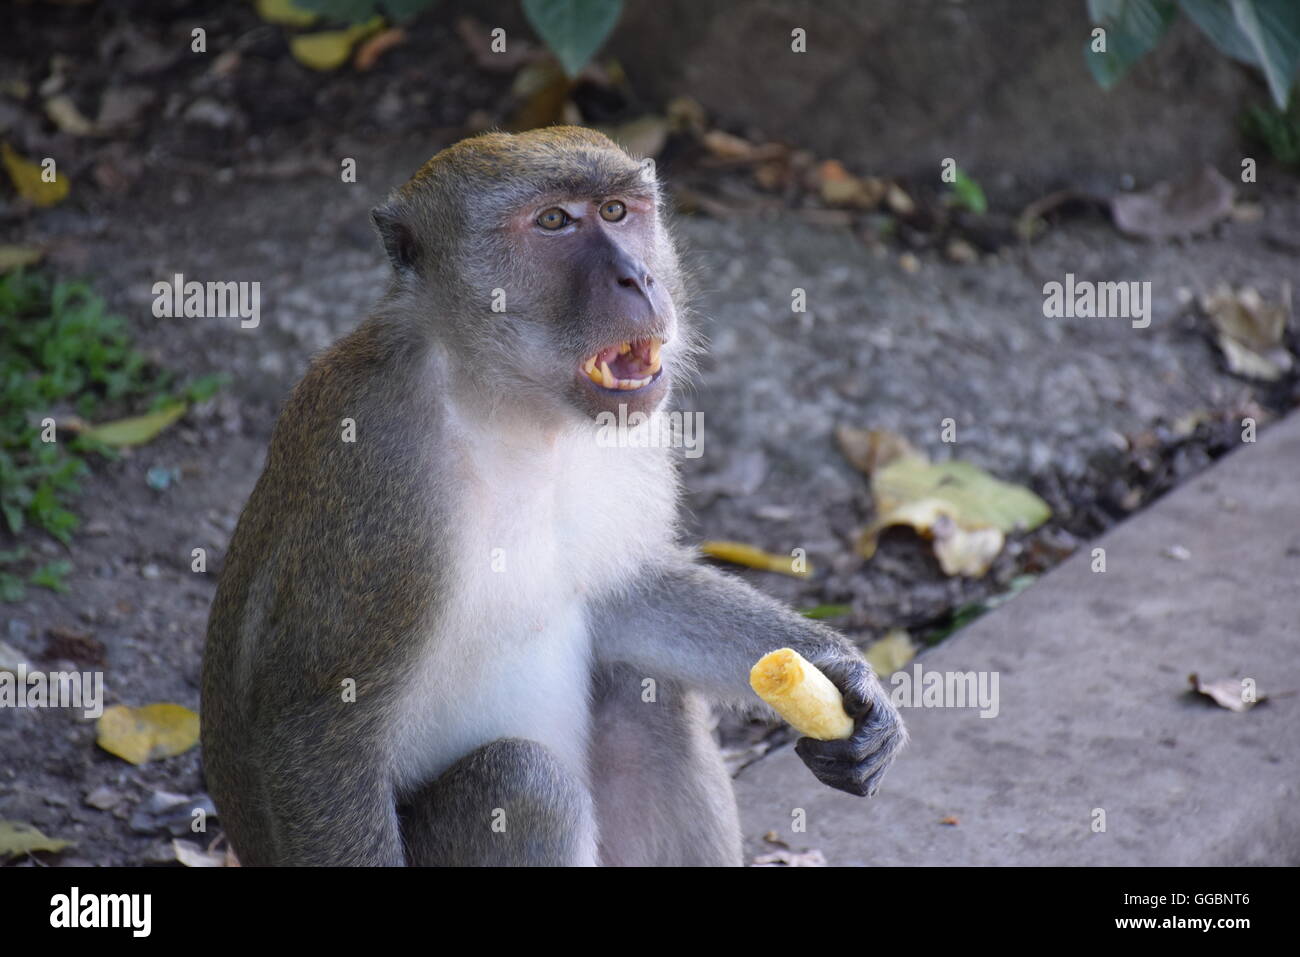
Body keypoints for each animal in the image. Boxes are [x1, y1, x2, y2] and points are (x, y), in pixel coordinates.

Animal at [200, 126, 906, 866]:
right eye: (554, 222)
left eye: (618, 211)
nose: (639, 278)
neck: (509, 410)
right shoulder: (376, 462)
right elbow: (315, 732)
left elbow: (627, 593)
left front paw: (845, 674)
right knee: (523, 782)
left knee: (642, 693)